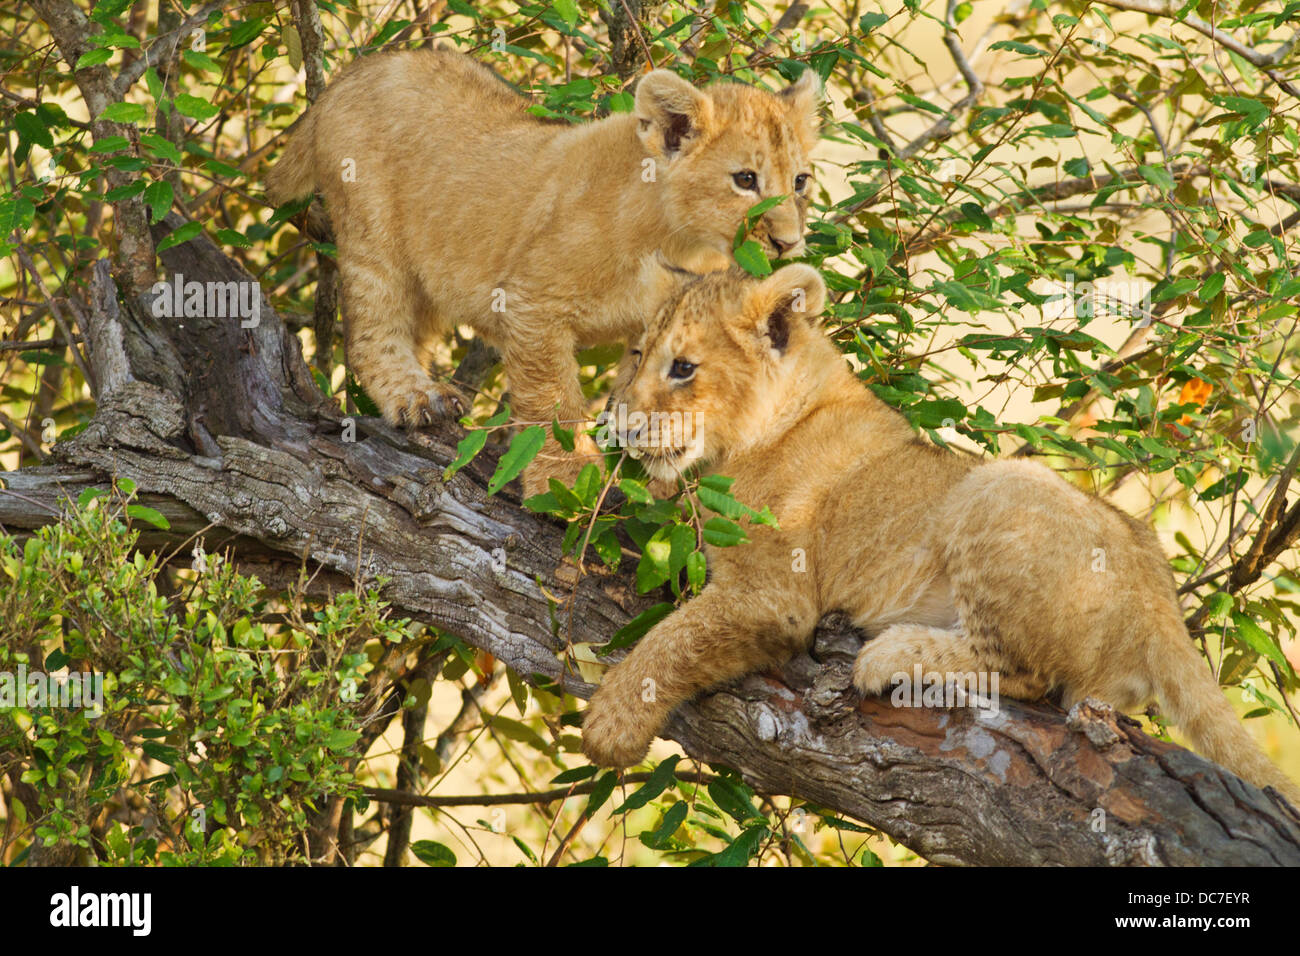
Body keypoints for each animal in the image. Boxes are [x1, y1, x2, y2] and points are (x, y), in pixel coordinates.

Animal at [266, 47, 819, 495]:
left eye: (800, 182)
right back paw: (417, 395)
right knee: (370, 331)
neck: (677, 237)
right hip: (372, 229)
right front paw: (566, 481)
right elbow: (551, 401)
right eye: (745, 180)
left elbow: (648, 389)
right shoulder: (530, 301)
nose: (789, 242)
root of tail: (349, 76)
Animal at [578, 264, 1300, 805]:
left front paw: (611, 724)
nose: (618, 420)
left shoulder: (773, 598)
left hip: (997, 487)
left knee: (1023, 673)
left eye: (683, 368)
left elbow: (672, 639)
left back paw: (888, 655)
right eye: (637, 354)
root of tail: (1159, 600)